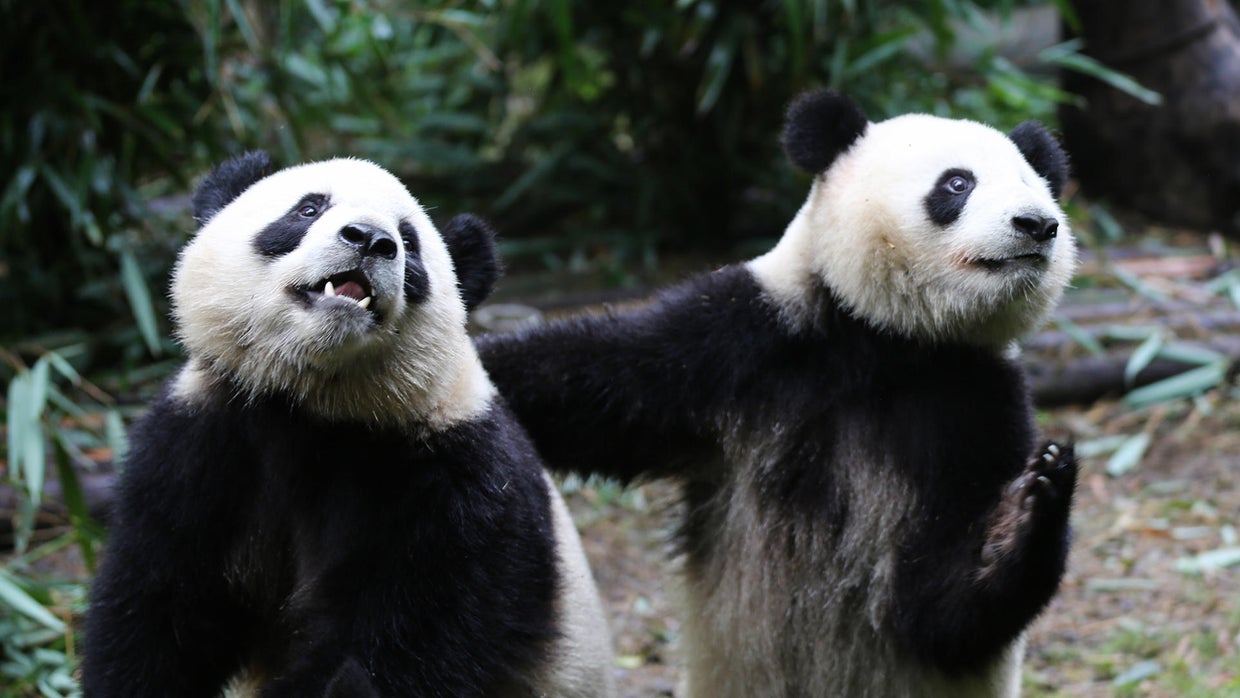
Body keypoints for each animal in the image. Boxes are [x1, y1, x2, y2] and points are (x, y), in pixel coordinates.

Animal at [81, 152, 615, 698]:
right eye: (309, 208)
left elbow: (391, 648)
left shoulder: (455, 483)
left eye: (408, 241)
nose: (370, 239)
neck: (310, 408)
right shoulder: (205, 441)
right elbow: (161, 611)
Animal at [477, 91, 1078, 697]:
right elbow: (594, 381)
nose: (1038, 224)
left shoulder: (975, 399)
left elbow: (940, 608)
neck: (888, 340)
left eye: (1032, 182)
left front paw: (1027, 512)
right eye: (958, 183)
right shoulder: (740, 346)